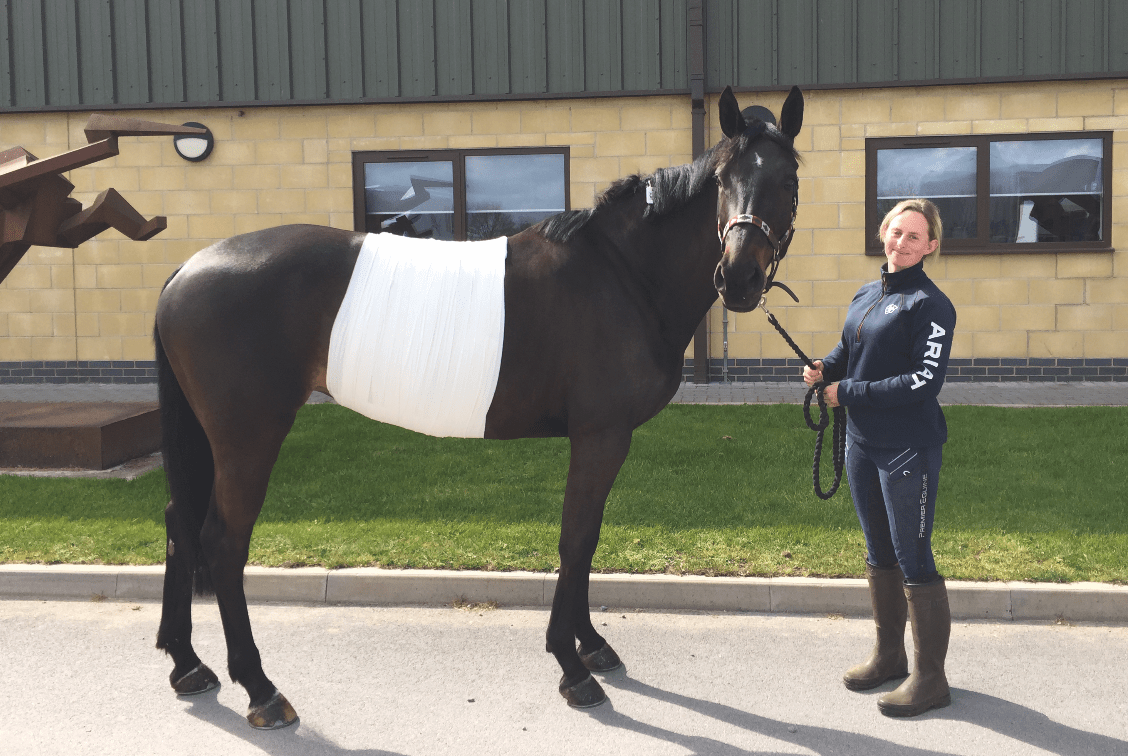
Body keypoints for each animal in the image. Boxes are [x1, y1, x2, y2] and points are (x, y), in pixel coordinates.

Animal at [153, 85, 804, 728]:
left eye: (788, 178)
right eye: (723, 180)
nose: (739, 278)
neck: (622, 274)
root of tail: (186, 268)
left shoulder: (600, 439)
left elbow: (588, 536)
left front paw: (591, 644)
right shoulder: (600, 436)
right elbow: (575, 539)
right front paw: (572, 666)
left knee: (179, 522)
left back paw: (188, 665)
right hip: (249, 437)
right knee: (223, 540)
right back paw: (260, 688)